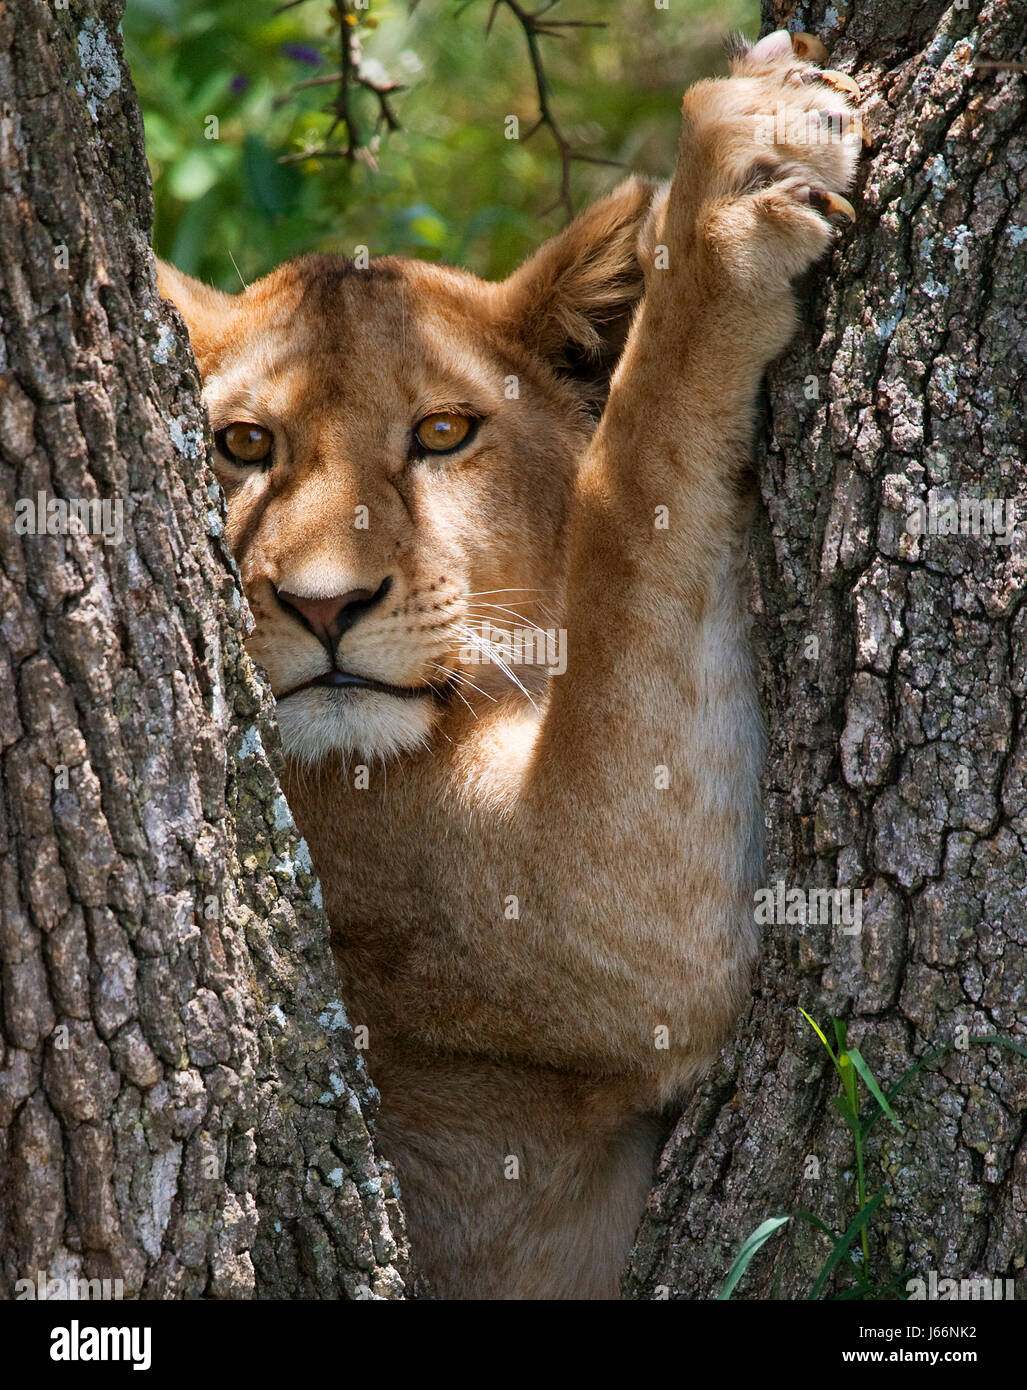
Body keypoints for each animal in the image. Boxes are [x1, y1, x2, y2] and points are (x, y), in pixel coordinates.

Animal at [158, 29, 860, 1299]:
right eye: (242, 444)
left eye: (442, 433)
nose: (323, 605)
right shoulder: (600, 901)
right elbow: (631, 488)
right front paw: (739, 171)